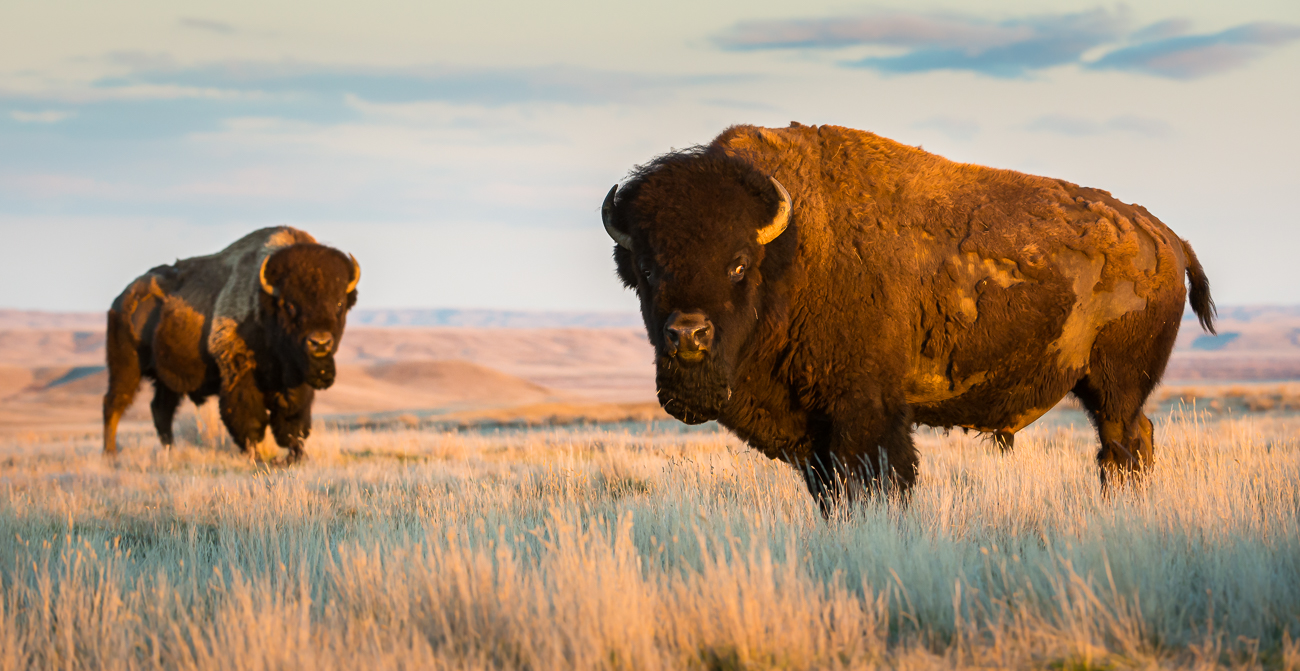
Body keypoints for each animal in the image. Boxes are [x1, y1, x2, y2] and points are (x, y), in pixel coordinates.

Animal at [103, 227, 359, 461]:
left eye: (339, 304)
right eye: (290, 305)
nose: (320, 342)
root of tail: (120, 300)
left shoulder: (296, 382)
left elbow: (293, 420)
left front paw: (297, 456)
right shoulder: (239, 370)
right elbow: (249, 419)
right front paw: (256, 456)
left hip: (167, 380)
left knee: (161, 409)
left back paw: (170, 451)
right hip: (126, 367)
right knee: (114, 403)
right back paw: (110, 453)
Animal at [601, 122, 1215, 514]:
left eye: (737, 264)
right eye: (648, 269)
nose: (688, 335)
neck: (791, 250)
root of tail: (1163, 236)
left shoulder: (866, 412)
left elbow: (880, 482)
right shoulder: (814, 434)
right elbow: (832, 493)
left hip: (1115, 384)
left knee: (1123, 444)